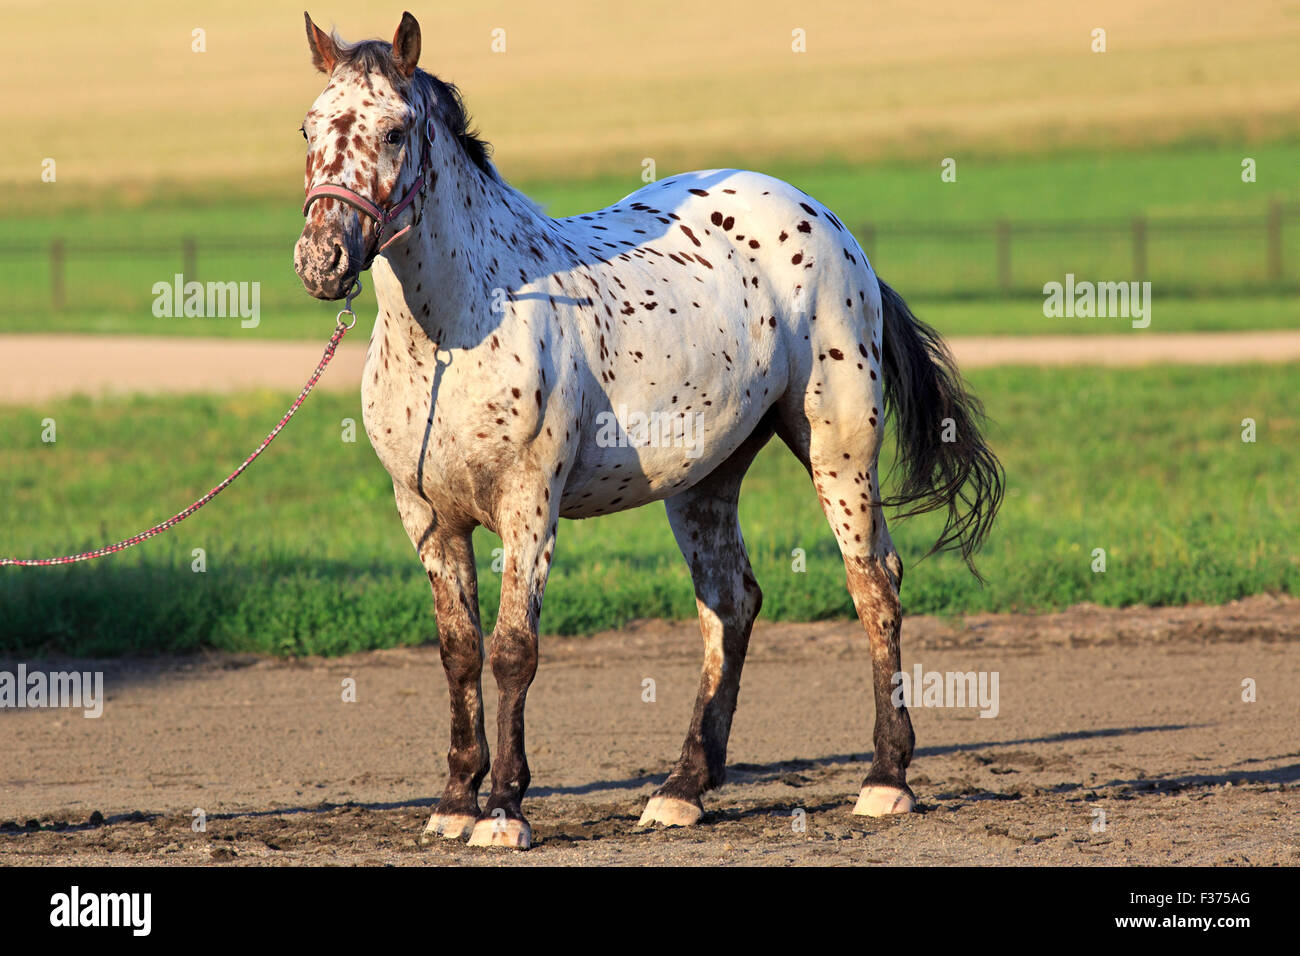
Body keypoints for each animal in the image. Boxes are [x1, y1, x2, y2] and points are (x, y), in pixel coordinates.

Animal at [293, 12, 1004, 849]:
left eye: (396, 131)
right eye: (309, 127)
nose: (321, 259)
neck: (460, 327)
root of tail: (829, 225)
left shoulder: (528, 507)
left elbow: (512, 651)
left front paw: (504, 811)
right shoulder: (428, 517)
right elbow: (459, 652)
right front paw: (454, 802)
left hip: (839, 452)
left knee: (874, 587)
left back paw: (885, 779)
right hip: (705, 480)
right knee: (731, 603)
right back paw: (682, 788)